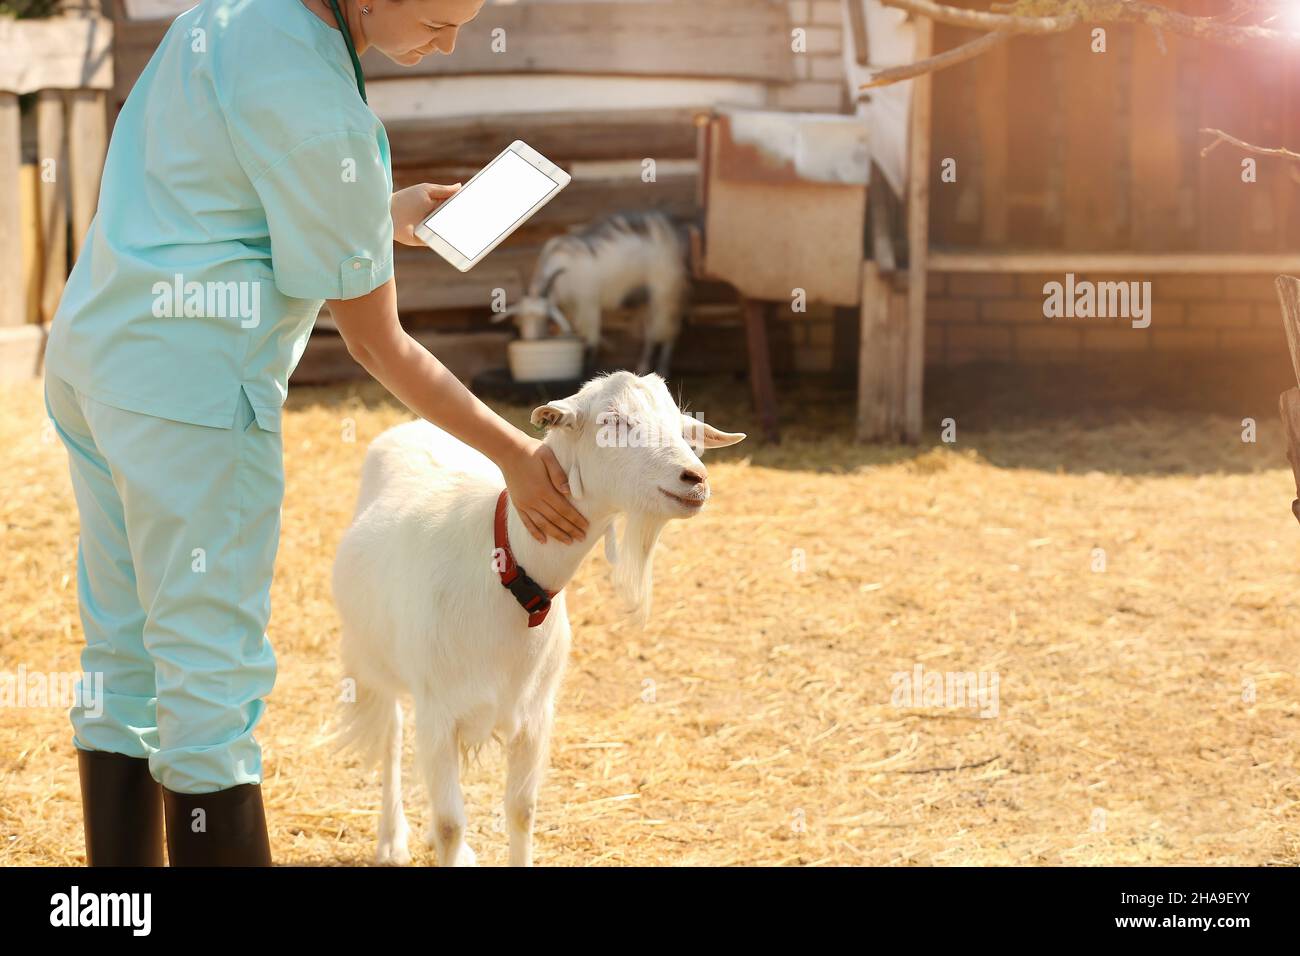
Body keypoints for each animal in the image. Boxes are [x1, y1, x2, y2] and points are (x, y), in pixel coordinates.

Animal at [330, 371, 745, 866]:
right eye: (612, 421)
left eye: (684, 429)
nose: (695, 478)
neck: (507, 571)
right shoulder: (438, 711)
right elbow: (450, 824)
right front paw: (435, 840)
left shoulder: (533, 717)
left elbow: (522, 811)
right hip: (376, 661)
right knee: (391, 739)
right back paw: (392, 840)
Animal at [493, 210, 691, 377]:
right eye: (522, 318)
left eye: (544, 317)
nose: (532, 340)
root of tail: (668, 228)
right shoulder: (571, 308)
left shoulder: (588, 303)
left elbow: (591, 340)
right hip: (644, 297)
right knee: (651, 332)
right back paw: (643, 368)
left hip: (666, 290)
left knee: (668, 330)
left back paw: (663, 369)